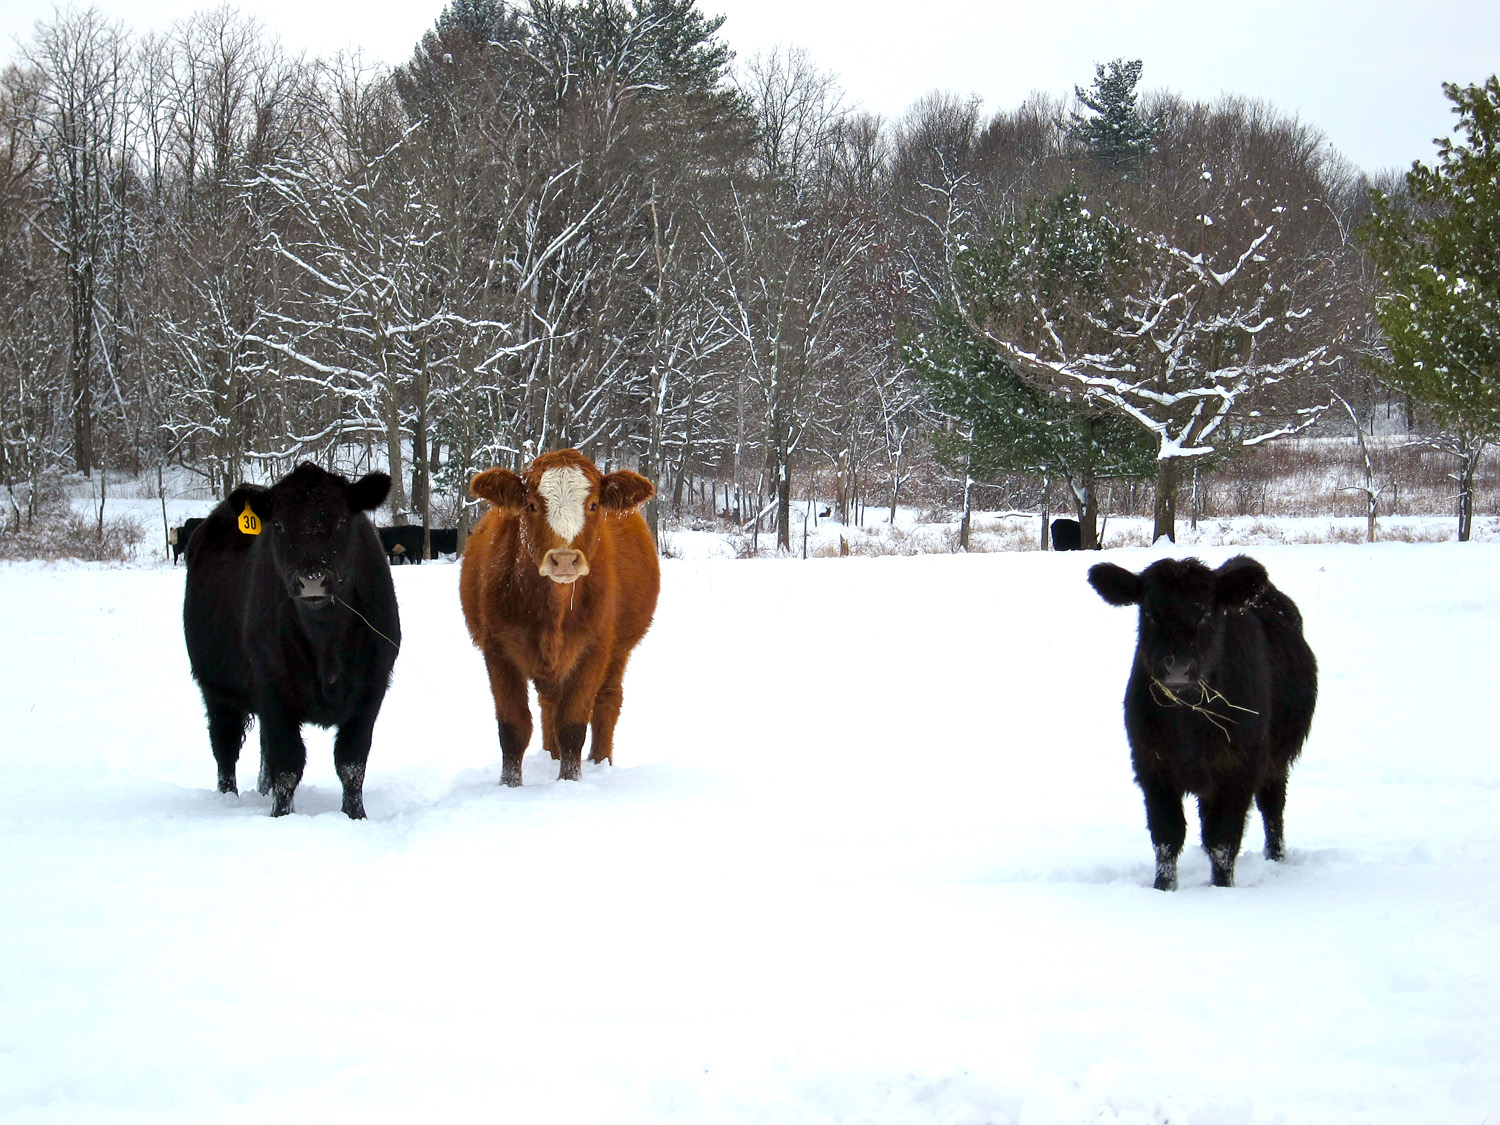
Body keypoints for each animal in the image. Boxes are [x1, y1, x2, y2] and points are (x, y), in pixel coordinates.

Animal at [183, 463, 401, 818]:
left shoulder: (372, 687)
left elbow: (352, 763)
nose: (312, 578)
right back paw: (229, 797)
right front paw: (281, 816)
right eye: (280, 525)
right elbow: (287, 765)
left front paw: (355, 816)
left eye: (342, 520)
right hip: (216, 687)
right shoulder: (272, 687)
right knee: (225, 746)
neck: (326, 643)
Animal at [460, 449, 659, 786]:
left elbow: (573, 725)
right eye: (531, 504)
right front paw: (510, 785)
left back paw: (600, 761)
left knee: (607, 699)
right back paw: (550, 755)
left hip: (620, 649)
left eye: (593, 504)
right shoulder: (497, 649)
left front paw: (569, 782)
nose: (564, 559)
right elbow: (513, 727)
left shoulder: (593, 650)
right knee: (549, 702)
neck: (554, 609)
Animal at [1087, 555, 1317, 890]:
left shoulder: (1240, 767)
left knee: (1272, 804)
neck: (1188, 726)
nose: (1177, 669)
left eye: (1207, 612)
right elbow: (1167, 836)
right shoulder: (1151, 765)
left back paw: (1275, 856)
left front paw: (1222, 889)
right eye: (1150, 612)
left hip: (1275, 759)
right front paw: (1163, 888)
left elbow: (1222, 839)